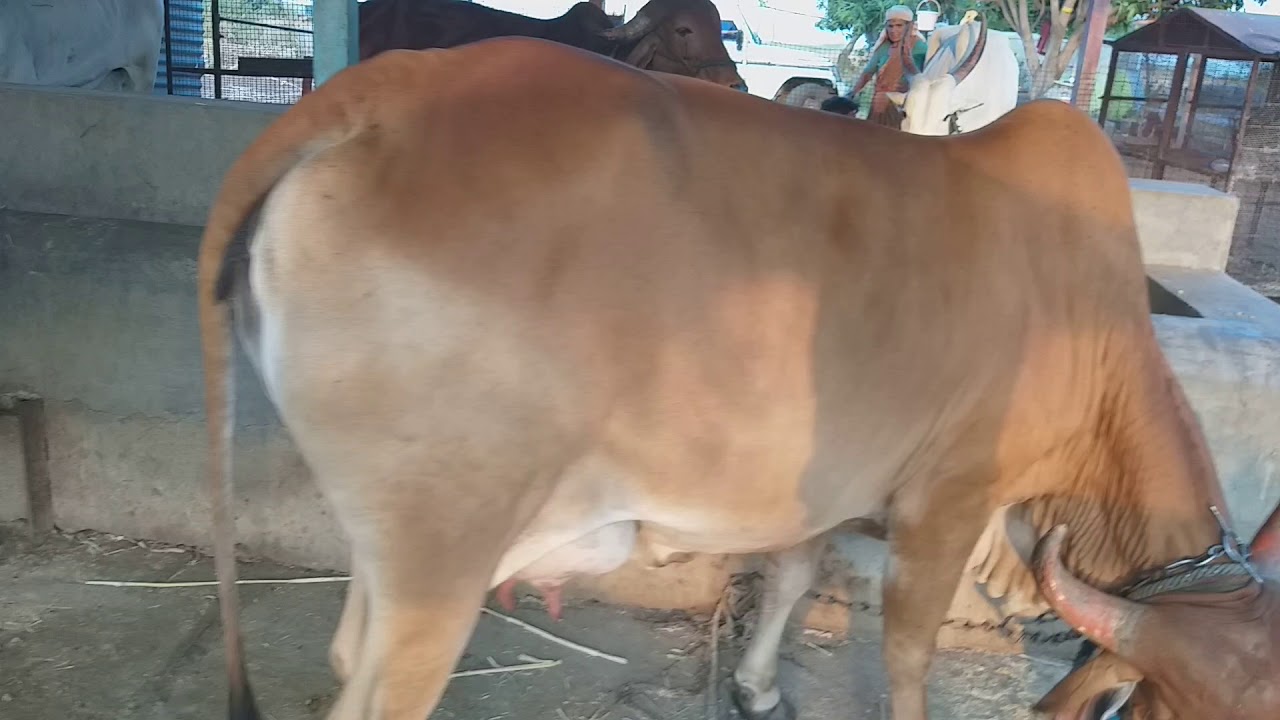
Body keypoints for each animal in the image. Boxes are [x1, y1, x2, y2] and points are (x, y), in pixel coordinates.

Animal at [196, 36, 1280, 720]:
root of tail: (390, 88)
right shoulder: (948, 497)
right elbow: (907, 654)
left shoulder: (832, 480)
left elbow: (793, 574)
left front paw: (756, 686)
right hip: (443, 550)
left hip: (391, 542)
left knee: (347, 652)